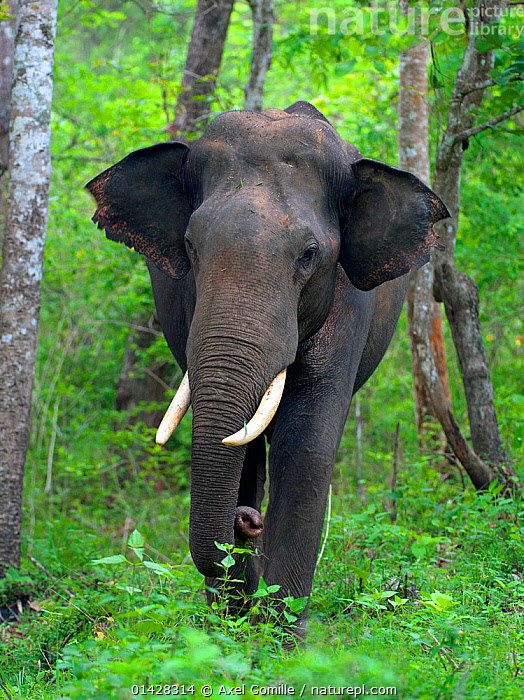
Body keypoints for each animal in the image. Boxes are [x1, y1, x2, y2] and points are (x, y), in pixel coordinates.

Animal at [87, 101, 448, 631]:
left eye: (310, 254)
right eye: (190, 246)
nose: (245, 521)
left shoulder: (348, 304)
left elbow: (306, 447)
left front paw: (281, 636)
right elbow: (236, 449)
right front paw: (234, 625)